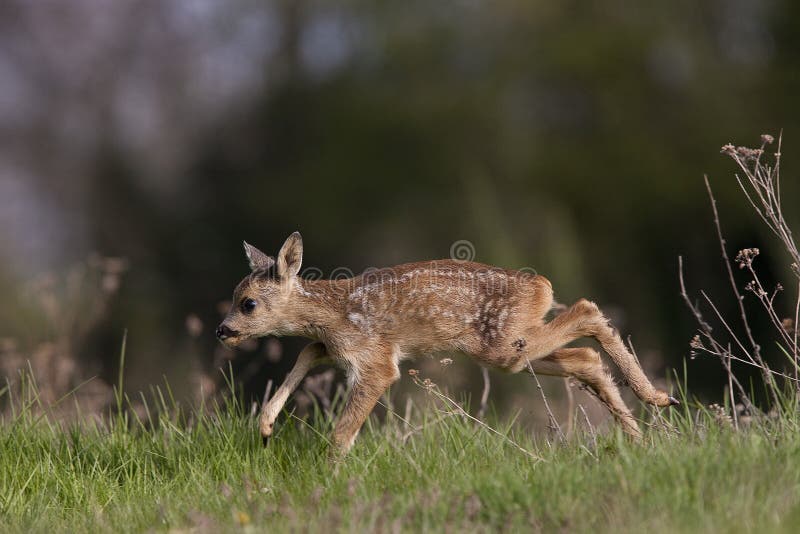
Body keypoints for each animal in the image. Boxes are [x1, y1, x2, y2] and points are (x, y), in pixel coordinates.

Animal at [216, 232, 678, 454]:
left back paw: (657, 400)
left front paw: (331, 478)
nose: (223, 330)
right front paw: (265, 427)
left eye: (248, 303)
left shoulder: (375, 359)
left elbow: (342, 433)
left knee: (586, 309)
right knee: (584, 357)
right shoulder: (335, 350)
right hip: (509, 348)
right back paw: (643, 434)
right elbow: (307, 352)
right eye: (235, 296)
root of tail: (542, 285)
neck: (333, 314)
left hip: (502, 343)